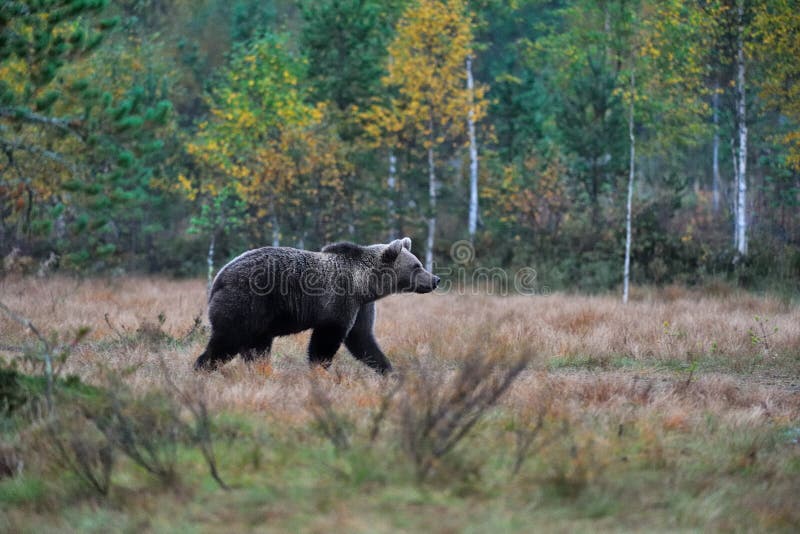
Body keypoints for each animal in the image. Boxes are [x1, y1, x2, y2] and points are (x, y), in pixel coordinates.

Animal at [193, 237, 439, 374]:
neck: (364, 285)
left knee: (256, 348)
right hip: (247, 301)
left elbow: (363, 339)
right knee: (227, 340)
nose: (435, 279)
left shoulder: (361, 307)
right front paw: (320, 371)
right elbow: (325, 342)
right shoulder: (338, 301)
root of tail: (219, 277)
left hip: (260, 319)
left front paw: (388, 370)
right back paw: (201, 368)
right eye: (417, 265)